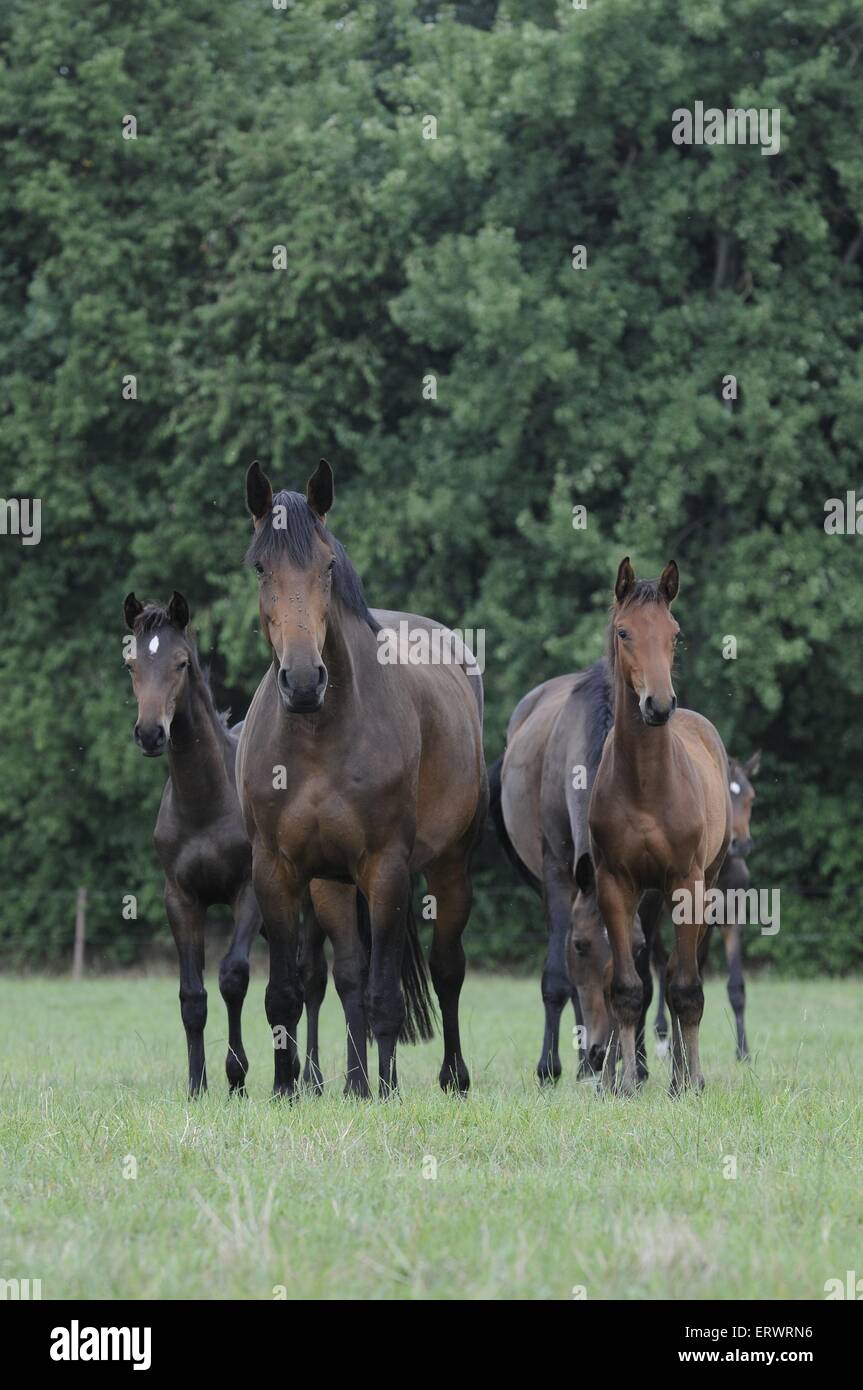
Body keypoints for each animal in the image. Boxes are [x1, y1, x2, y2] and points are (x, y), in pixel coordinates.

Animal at [235, 458, 488, 1099]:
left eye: (327, 565)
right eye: (260, 566)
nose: (304, 680)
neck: (317, 737)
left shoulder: (386, 867)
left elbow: (386, 997)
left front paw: (388, 1093)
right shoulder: (276, 869)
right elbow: (287, 994)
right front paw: (288, 1091)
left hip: (446, 866)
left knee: (446, 972)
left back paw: (449, 1076)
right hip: (332, 883)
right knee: (349, 974)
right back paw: (353, 1082)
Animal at [489, 661, 651, 1083]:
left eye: (636, 946)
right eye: (581, 946)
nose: (602, 1048)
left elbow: (644, 977)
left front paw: (634, 1065)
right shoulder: (558, 874)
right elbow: (559, 978)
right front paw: (549, 1068)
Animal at [588, 558, 732, 1094]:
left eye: (675, 633)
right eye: (624, 631)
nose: (658, 705)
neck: (647, 785)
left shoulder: (688, 884)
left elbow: (685, 986)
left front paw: (689, 1083)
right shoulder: (614, 884)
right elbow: (626, 988)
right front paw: (626, 1083)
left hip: (707, 883)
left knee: (677, 973)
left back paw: (683, 1074)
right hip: (645, 899)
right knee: (629, 976)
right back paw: (612, 1076)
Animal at [653, 752, 760, 1061]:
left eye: (750, 797)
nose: (740, 845)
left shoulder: (729, 918)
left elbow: (735, 985)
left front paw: (743, 1051)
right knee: (657, 964)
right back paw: (662, 1035)